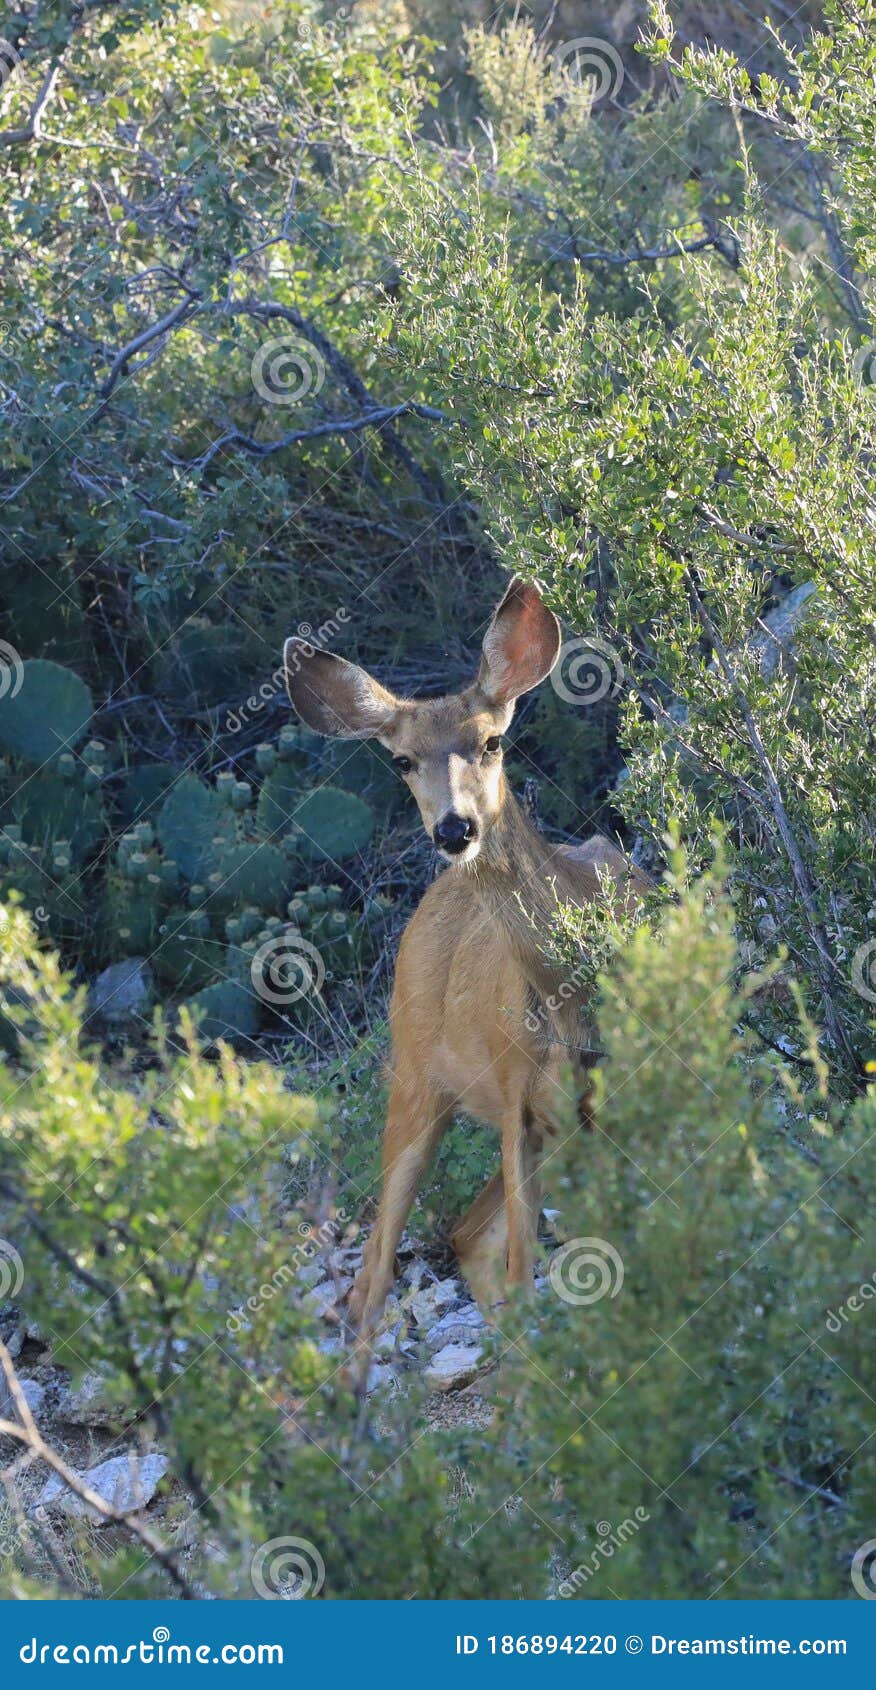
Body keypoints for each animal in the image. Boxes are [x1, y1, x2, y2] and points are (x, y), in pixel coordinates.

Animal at [284, 579, 650, 1345]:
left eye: (491, 740)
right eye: (401, 759)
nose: (455, 828)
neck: (570, 996)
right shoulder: (520, 1099)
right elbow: (531, 1266)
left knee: (462, 1234)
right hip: (417, 1078)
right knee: (380, 1270)